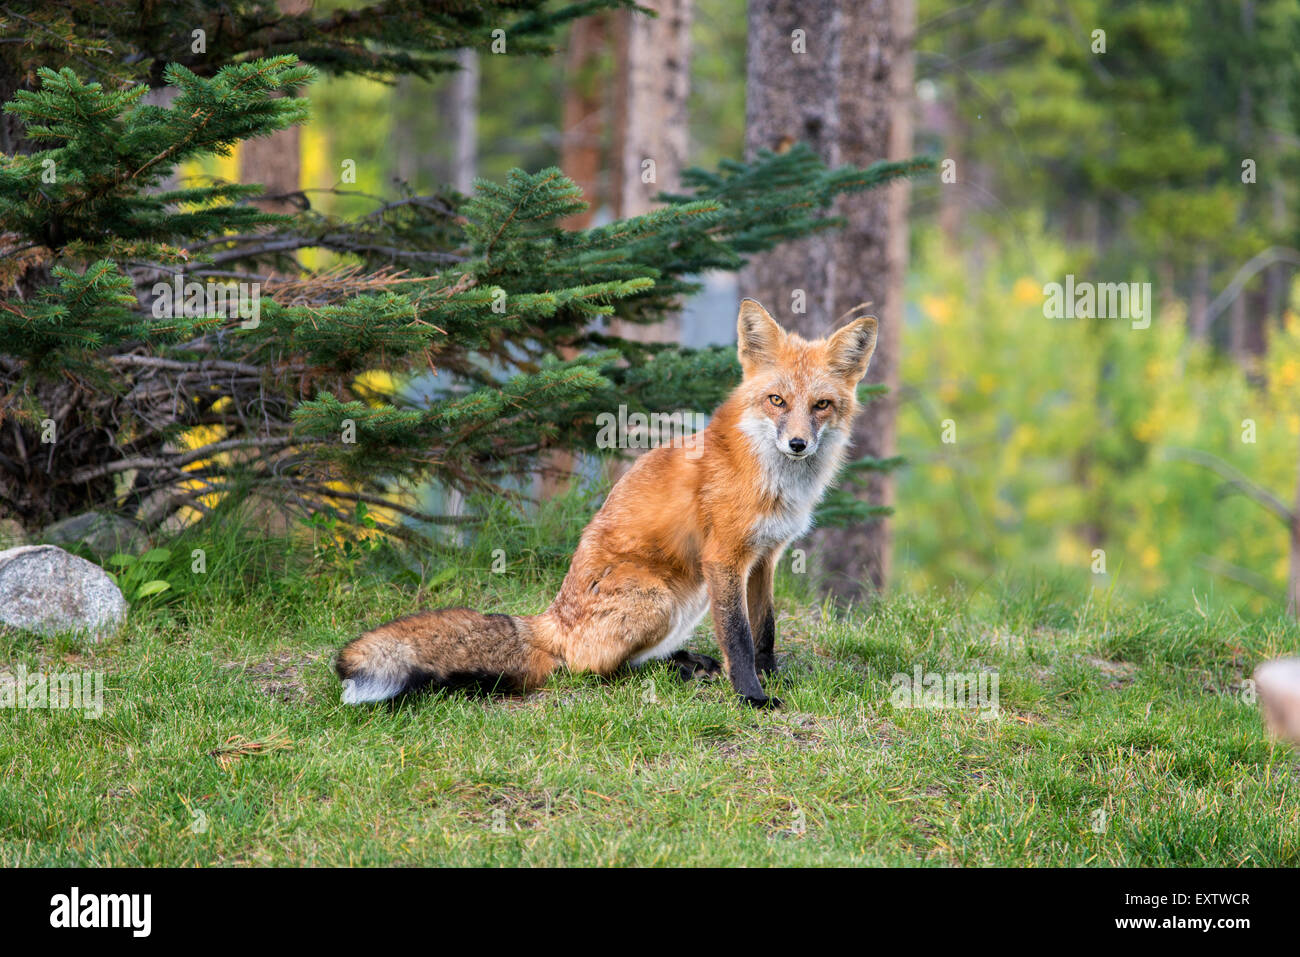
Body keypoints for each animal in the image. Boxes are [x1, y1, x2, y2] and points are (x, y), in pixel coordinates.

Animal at [335, 298, 878, 708]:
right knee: (588, 668)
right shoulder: (725, 557)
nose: (798, 445)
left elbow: (765, 630)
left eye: (821, 406)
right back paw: (661, 672)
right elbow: (739, 639)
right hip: (662, 595)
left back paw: (682, 663)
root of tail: (550, 620)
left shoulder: (764, 557)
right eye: (777, 401)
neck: (775, 480)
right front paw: (752, 696)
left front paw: (773, 677)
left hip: (689, 594)